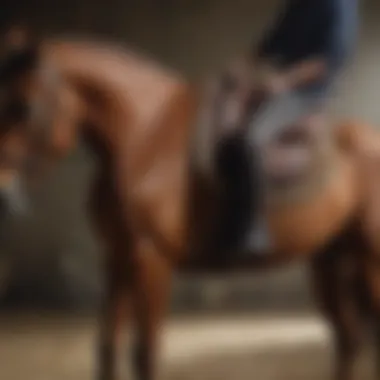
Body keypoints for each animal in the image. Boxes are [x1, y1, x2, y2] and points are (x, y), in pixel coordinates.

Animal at [0, 27, 380, 380]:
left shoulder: (151, 260)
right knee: (349, 339)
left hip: (368, 260)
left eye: (24, 107)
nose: (5, 193)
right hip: (329, 261)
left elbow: (145, 354)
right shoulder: (117, 260)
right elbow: (106, 346)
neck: (144, 137)